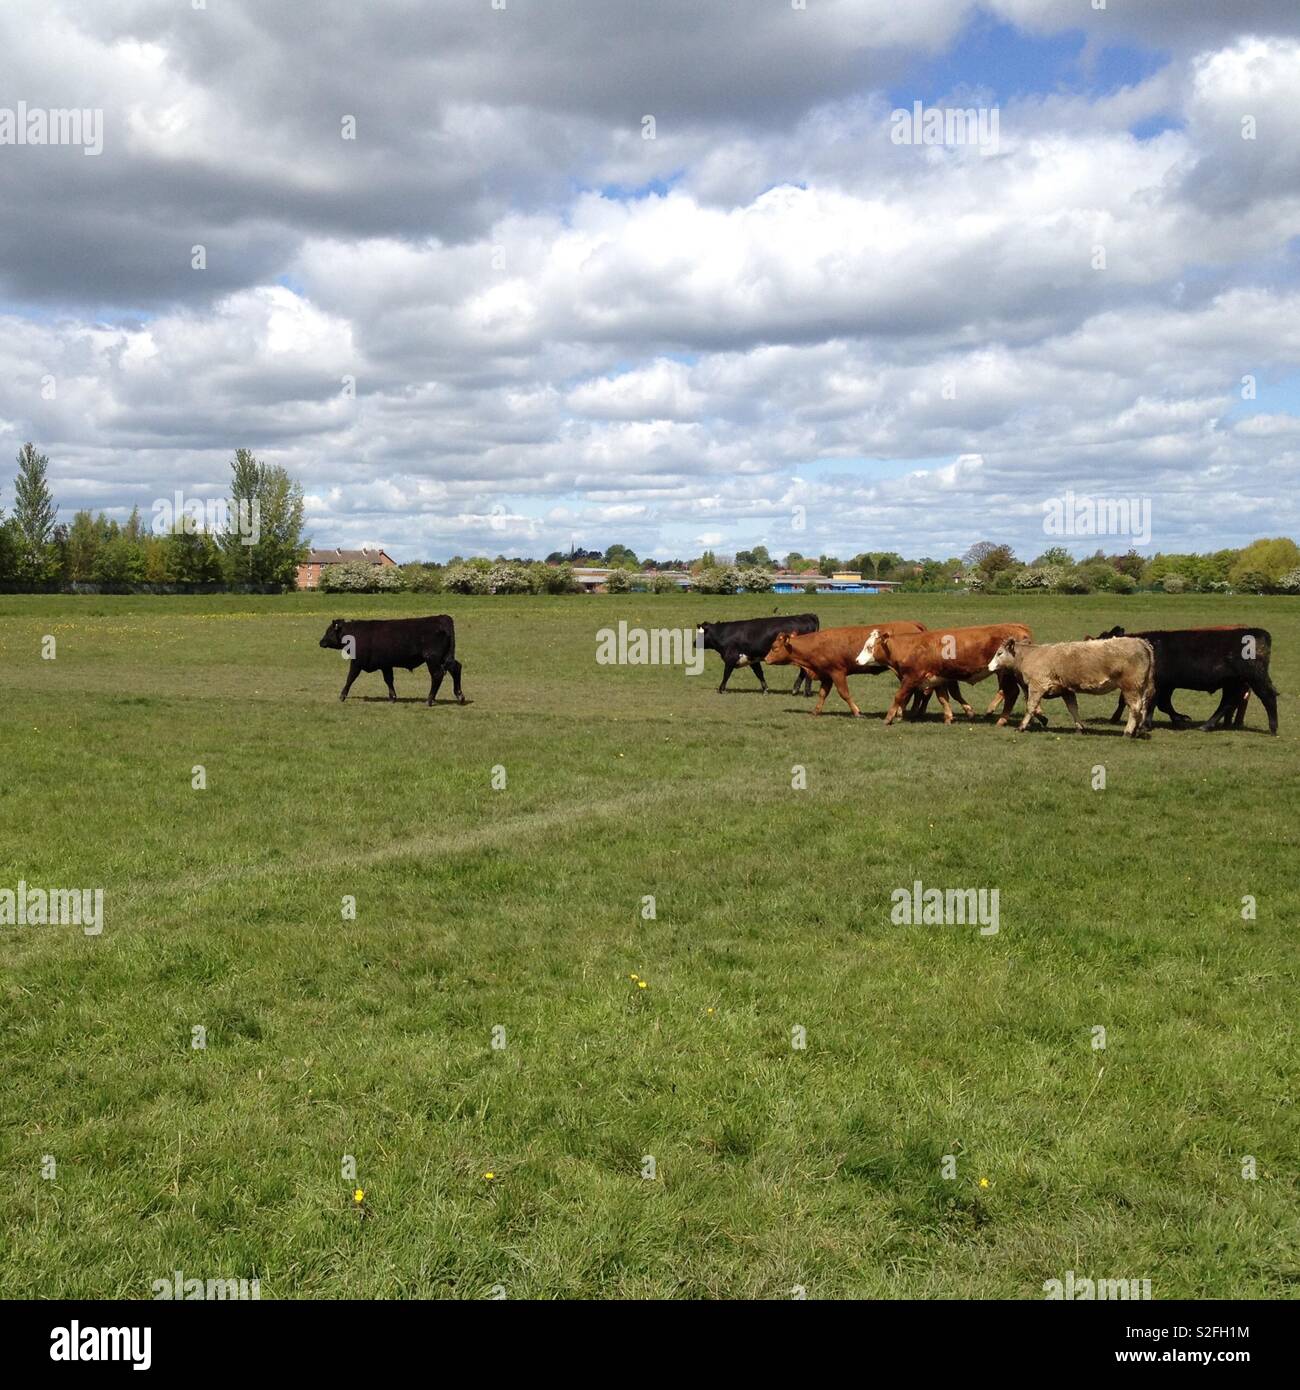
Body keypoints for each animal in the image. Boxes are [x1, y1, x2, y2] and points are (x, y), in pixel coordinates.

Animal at [319, 615, 465, 706]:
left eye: (329, 631)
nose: (321, 642)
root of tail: (442, 617)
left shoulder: (356, 662)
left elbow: (350, 678)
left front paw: (342, 696)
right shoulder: (386, 664)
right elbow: (389, 680)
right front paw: (393, 697)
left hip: (432, 659)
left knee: (437, 675)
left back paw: (429, 699)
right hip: (446, 657)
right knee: (455, 668)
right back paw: (459, 696)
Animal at [763, 622, 931, 716]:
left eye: (774, 647)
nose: (766, 659)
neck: (816, 644)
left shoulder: (837, 672)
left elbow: (844, 694)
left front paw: (857, 712)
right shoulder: (826, 676)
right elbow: (822, 694)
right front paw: (816, 711)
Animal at [861, 623, 1036, 726]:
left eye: (869, 647)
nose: (857, 659)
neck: (911, 647)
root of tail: (1018, 627)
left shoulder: (911, 678)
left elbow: (899, 696)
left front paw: (889, 718)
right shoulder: (937, 678)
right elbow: (943, 698)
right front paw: (948, 717)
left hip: (1005, 673)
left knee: (1011, 693)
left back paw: (1001, 719)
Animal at [989, 635, 1155, 737]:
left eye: (999, 653)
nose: (989, 666)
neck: (1029, 656)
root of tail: (1141, 642)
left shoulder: (1036, 687)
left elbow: (1030, 707)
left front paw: (1021, 727)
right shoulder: (1066, 690)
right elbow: (1073, 709)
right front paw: (1080, 728)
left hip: (1130, 687)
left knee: (1135, 708)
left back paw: (1128, 731)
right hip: (1141, 688)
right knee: (1143, 707)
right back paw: (1138, 730)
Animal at [1090, 626, 1278, 735]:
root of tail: (1259, 633)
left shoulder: (1160, 684)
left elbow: (1156, 703)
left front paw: (1147, 724)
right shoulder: (1166, 685)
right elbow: (1162, 704)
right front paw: (1178, 719)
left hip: (1254, 677)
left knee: (1268, 696)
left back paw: (1273, 728)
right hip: (1233, 682)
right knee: (1228, 702)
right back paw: (1207, 725)